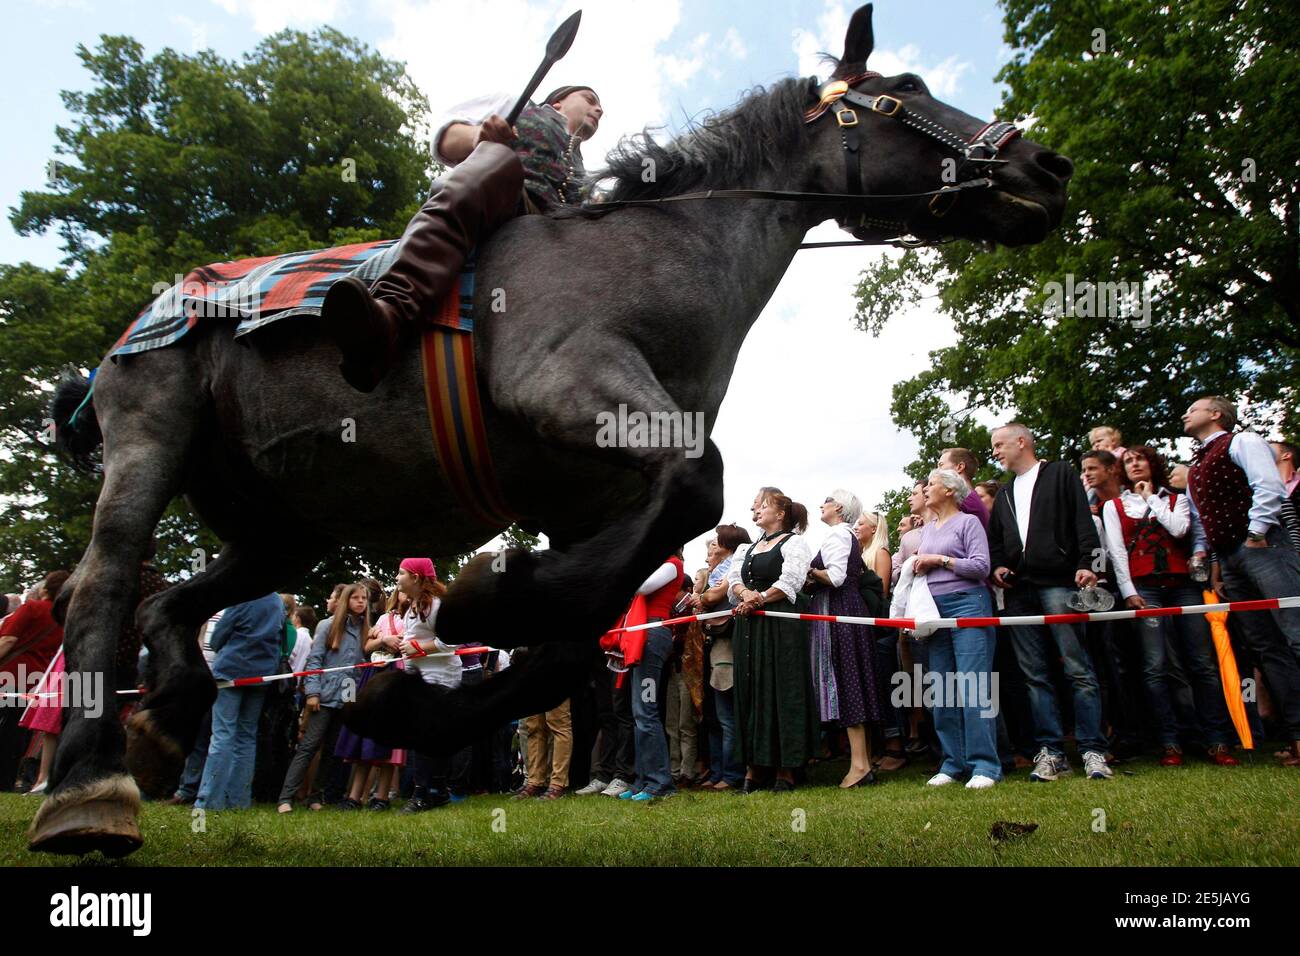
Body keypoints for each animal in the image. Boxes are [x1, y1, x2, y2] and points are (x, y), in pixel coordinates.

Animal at [30, 3, 1071, 856]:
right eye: (906, 92)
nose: (1045, 167)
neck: (657, 252)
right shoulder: (572, 391)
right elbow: (695, 482)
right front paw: (488, 598)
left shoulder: (593, 501)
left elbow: (575, 639)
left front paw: (436, 668)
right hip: (152, 436)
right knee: (104, 586)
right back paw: (88, 786)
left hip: (281, 531)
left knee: (164, 608)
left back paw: (164, 721)